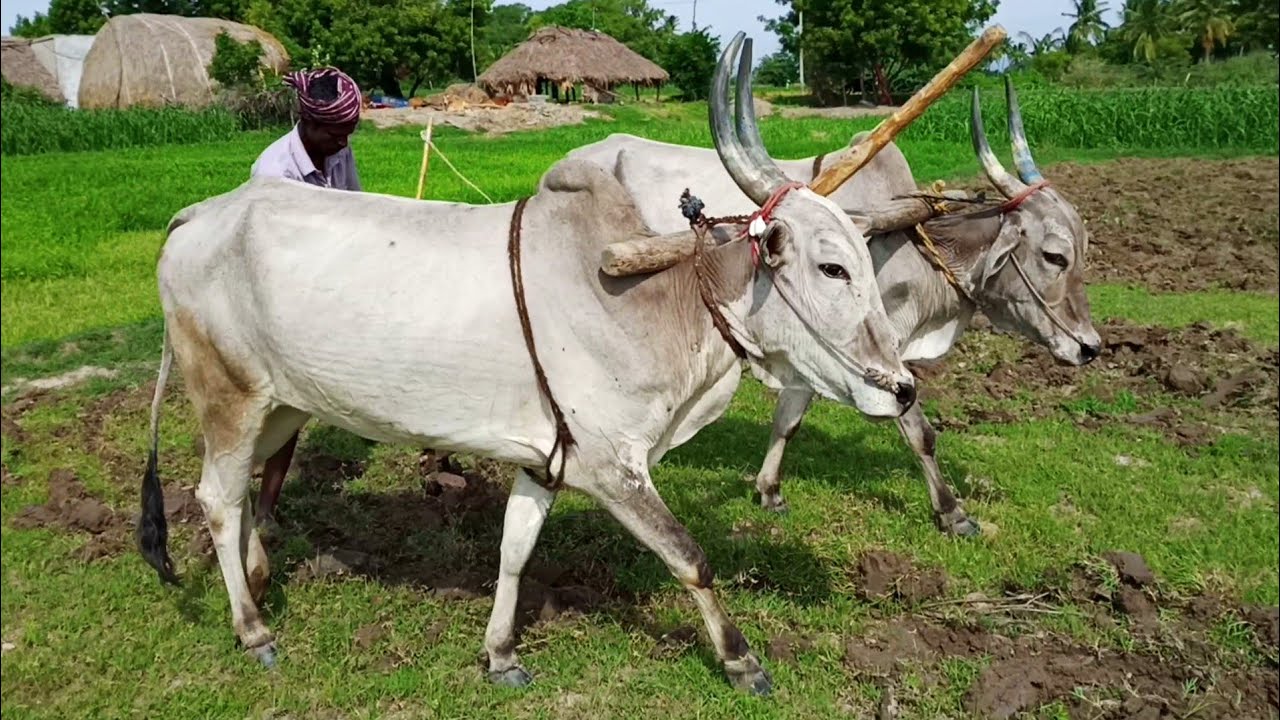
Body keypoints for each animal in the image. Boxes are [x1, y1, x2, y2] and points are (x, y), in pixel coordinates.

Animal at [136, 34, 913, 695]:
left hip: (281, 402)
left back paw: (261, 575)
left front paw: (501, 652)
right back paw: (252, 628)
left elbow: (514, 549)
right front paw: (742, 660)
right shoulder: (613, 466)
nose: (904, 389)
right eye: (833, 266)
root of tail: (203, 212)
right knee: (216, 499)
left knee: (241, 496)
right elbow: (688, 556)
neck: (654, 302)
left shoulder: (546, 459)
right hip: (228, 397)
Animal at [568, 76, 1102, 536]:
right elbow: (918, 432)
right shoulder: (878, 356)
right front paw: (953, 513)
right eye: (1055, 256)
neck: (907, 242)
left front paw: (768, 491)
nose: (1091, 347)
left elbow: (789, 419)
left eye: (1083, 249)